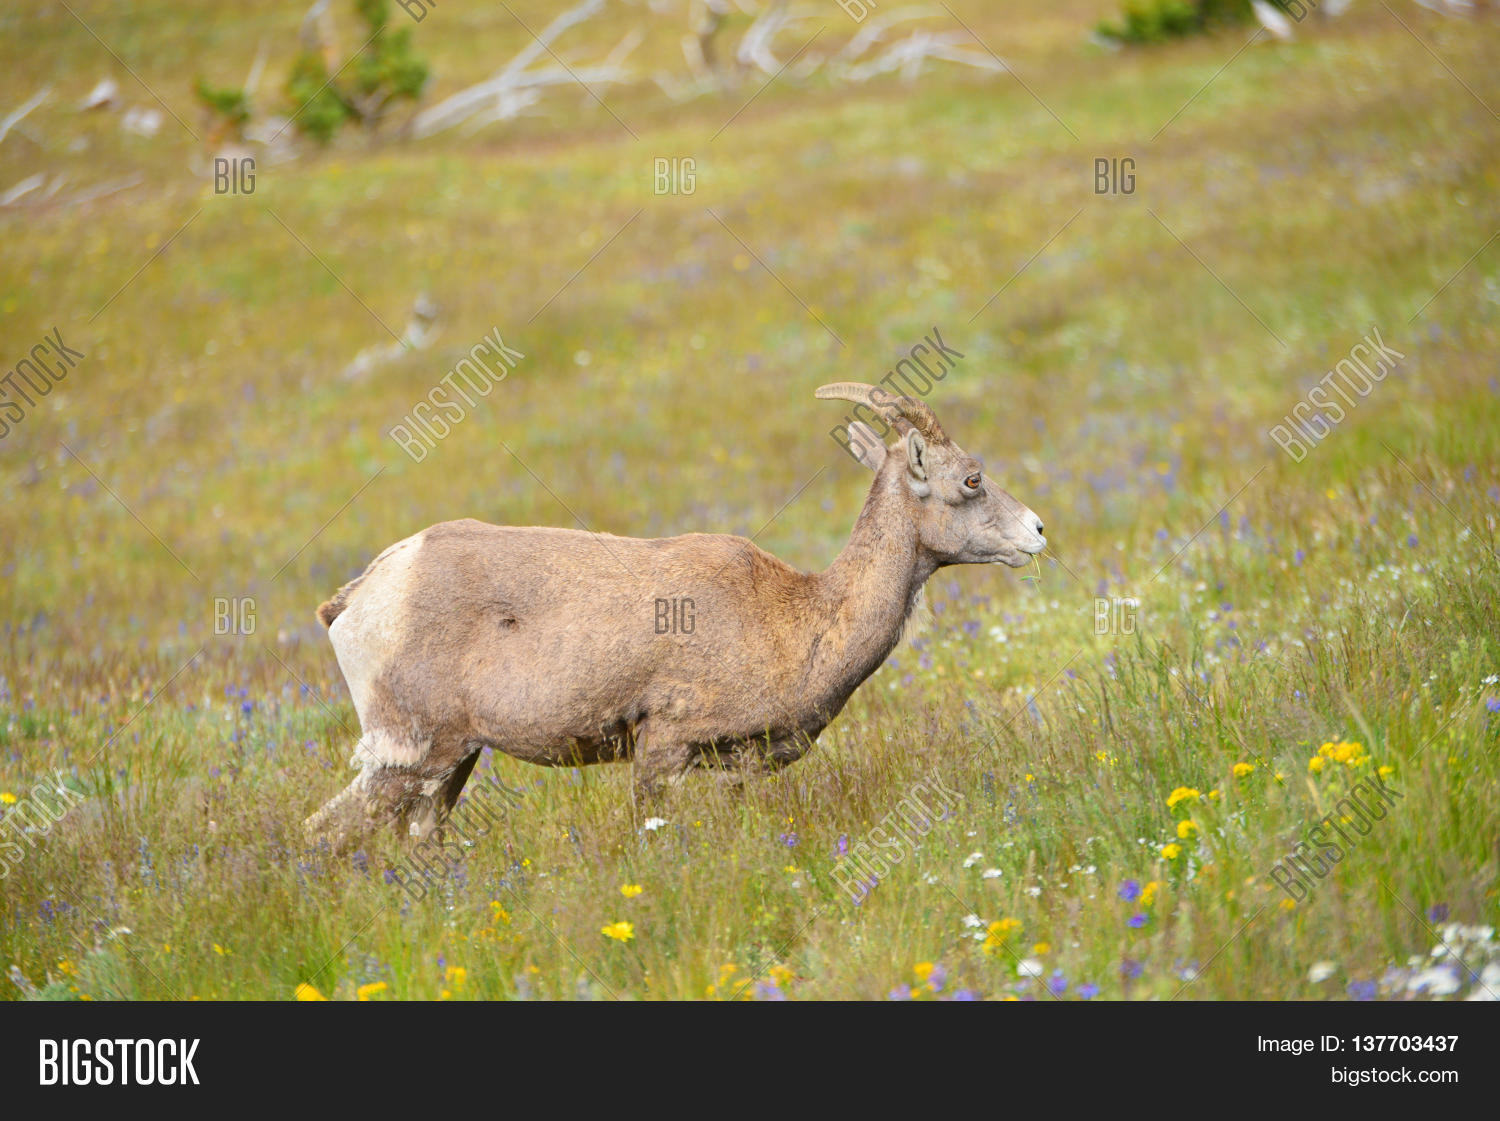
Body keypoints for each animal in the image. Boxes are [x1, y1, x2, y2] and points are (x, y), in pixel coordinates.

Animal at [305, 383, 1047, 843]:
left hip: (448, 767)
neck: (801, 617)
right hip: (408, 757)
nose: (1038, 531)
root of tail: (362, 595)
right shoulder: (663, 750)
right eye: (971, 479)